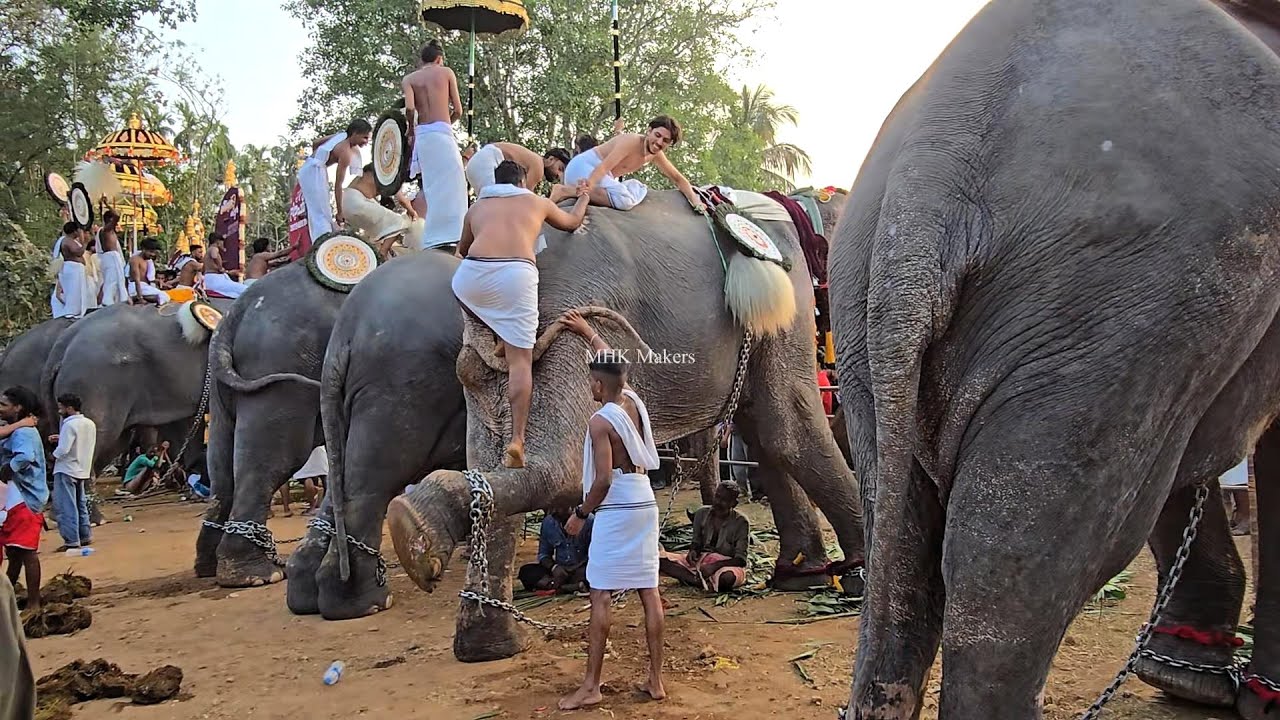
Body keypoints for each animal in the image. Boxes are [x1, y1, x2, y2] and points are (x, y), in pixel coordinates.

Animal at [194, 262, 347, 587]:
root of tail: (235, 314)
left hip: (223, 391)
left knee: (222, 466)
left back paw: (208, 567)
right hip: (280, 370)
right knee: (272, 461)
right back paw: (257, 576)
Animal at [284, 250, 467, 620]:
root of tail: (345, 333)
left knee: (341, 481)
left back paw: (307, 596)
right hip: (400, 387)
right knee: (372, 483)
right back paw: (366, 603)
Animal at [382, 190, 864, 661]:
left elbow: (766, 430)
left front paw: (804, 577)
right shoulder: (786, 298)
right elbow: (786, 427)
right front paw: (853, 579)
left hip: (501, 352)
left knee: (496, 455)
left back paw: (479, 638)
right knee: (561, 470)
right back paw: (418, 530)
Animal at [828, 0, 1280, 717]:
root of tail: (927, 179)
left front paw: (1187, 682)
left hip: (865, 314)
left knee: (905, 567)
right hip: (1116, 310)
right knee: (1012, 578)